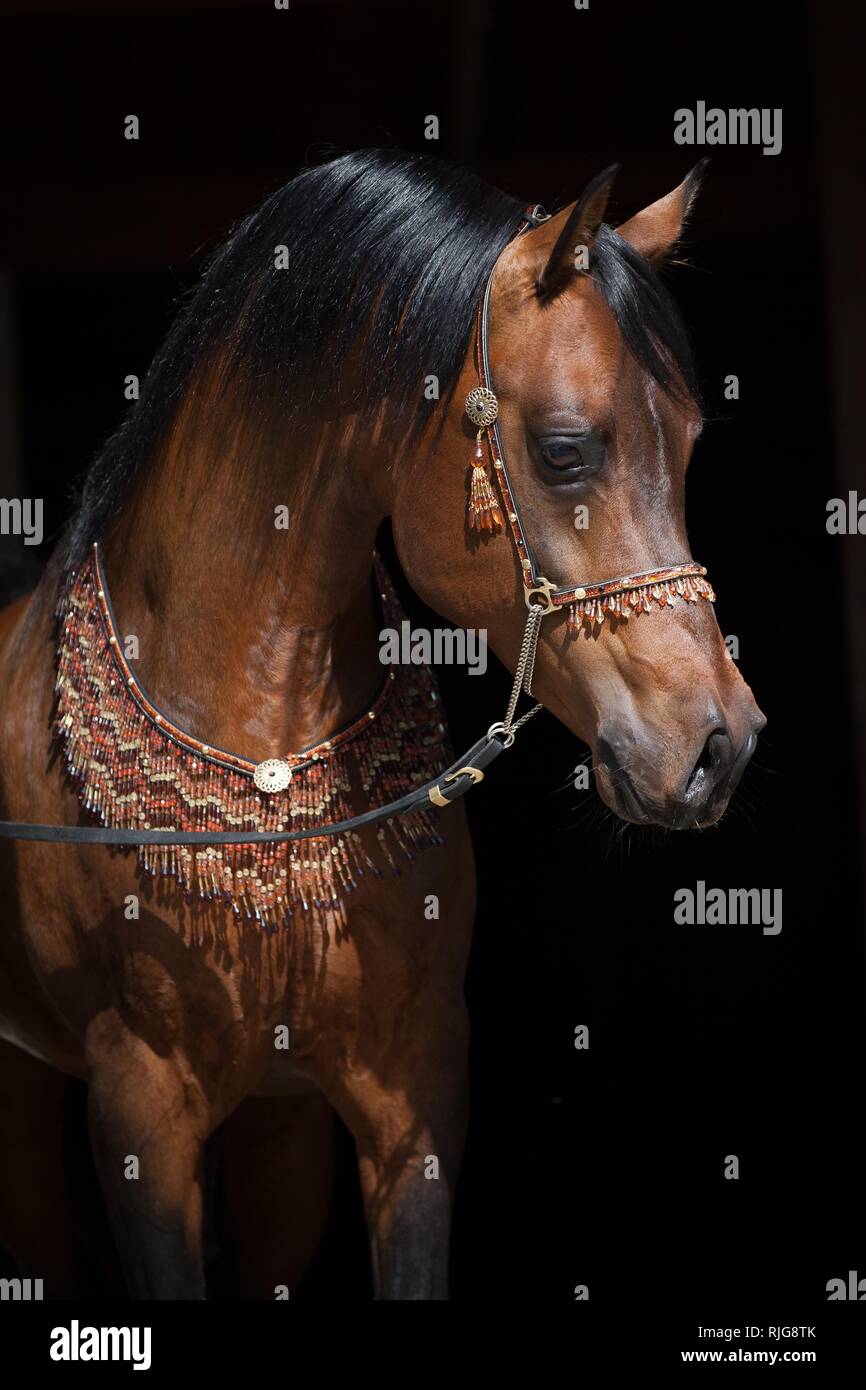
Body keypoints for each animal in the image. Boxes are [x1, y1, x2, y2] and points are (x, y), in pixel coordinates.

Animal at [0, 149, 764, 1300]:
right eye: (565, 451)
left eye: (685, 445)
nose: (719, 745)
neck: (266, 771)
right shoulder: (138, 1109)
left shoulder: (407, 1088)